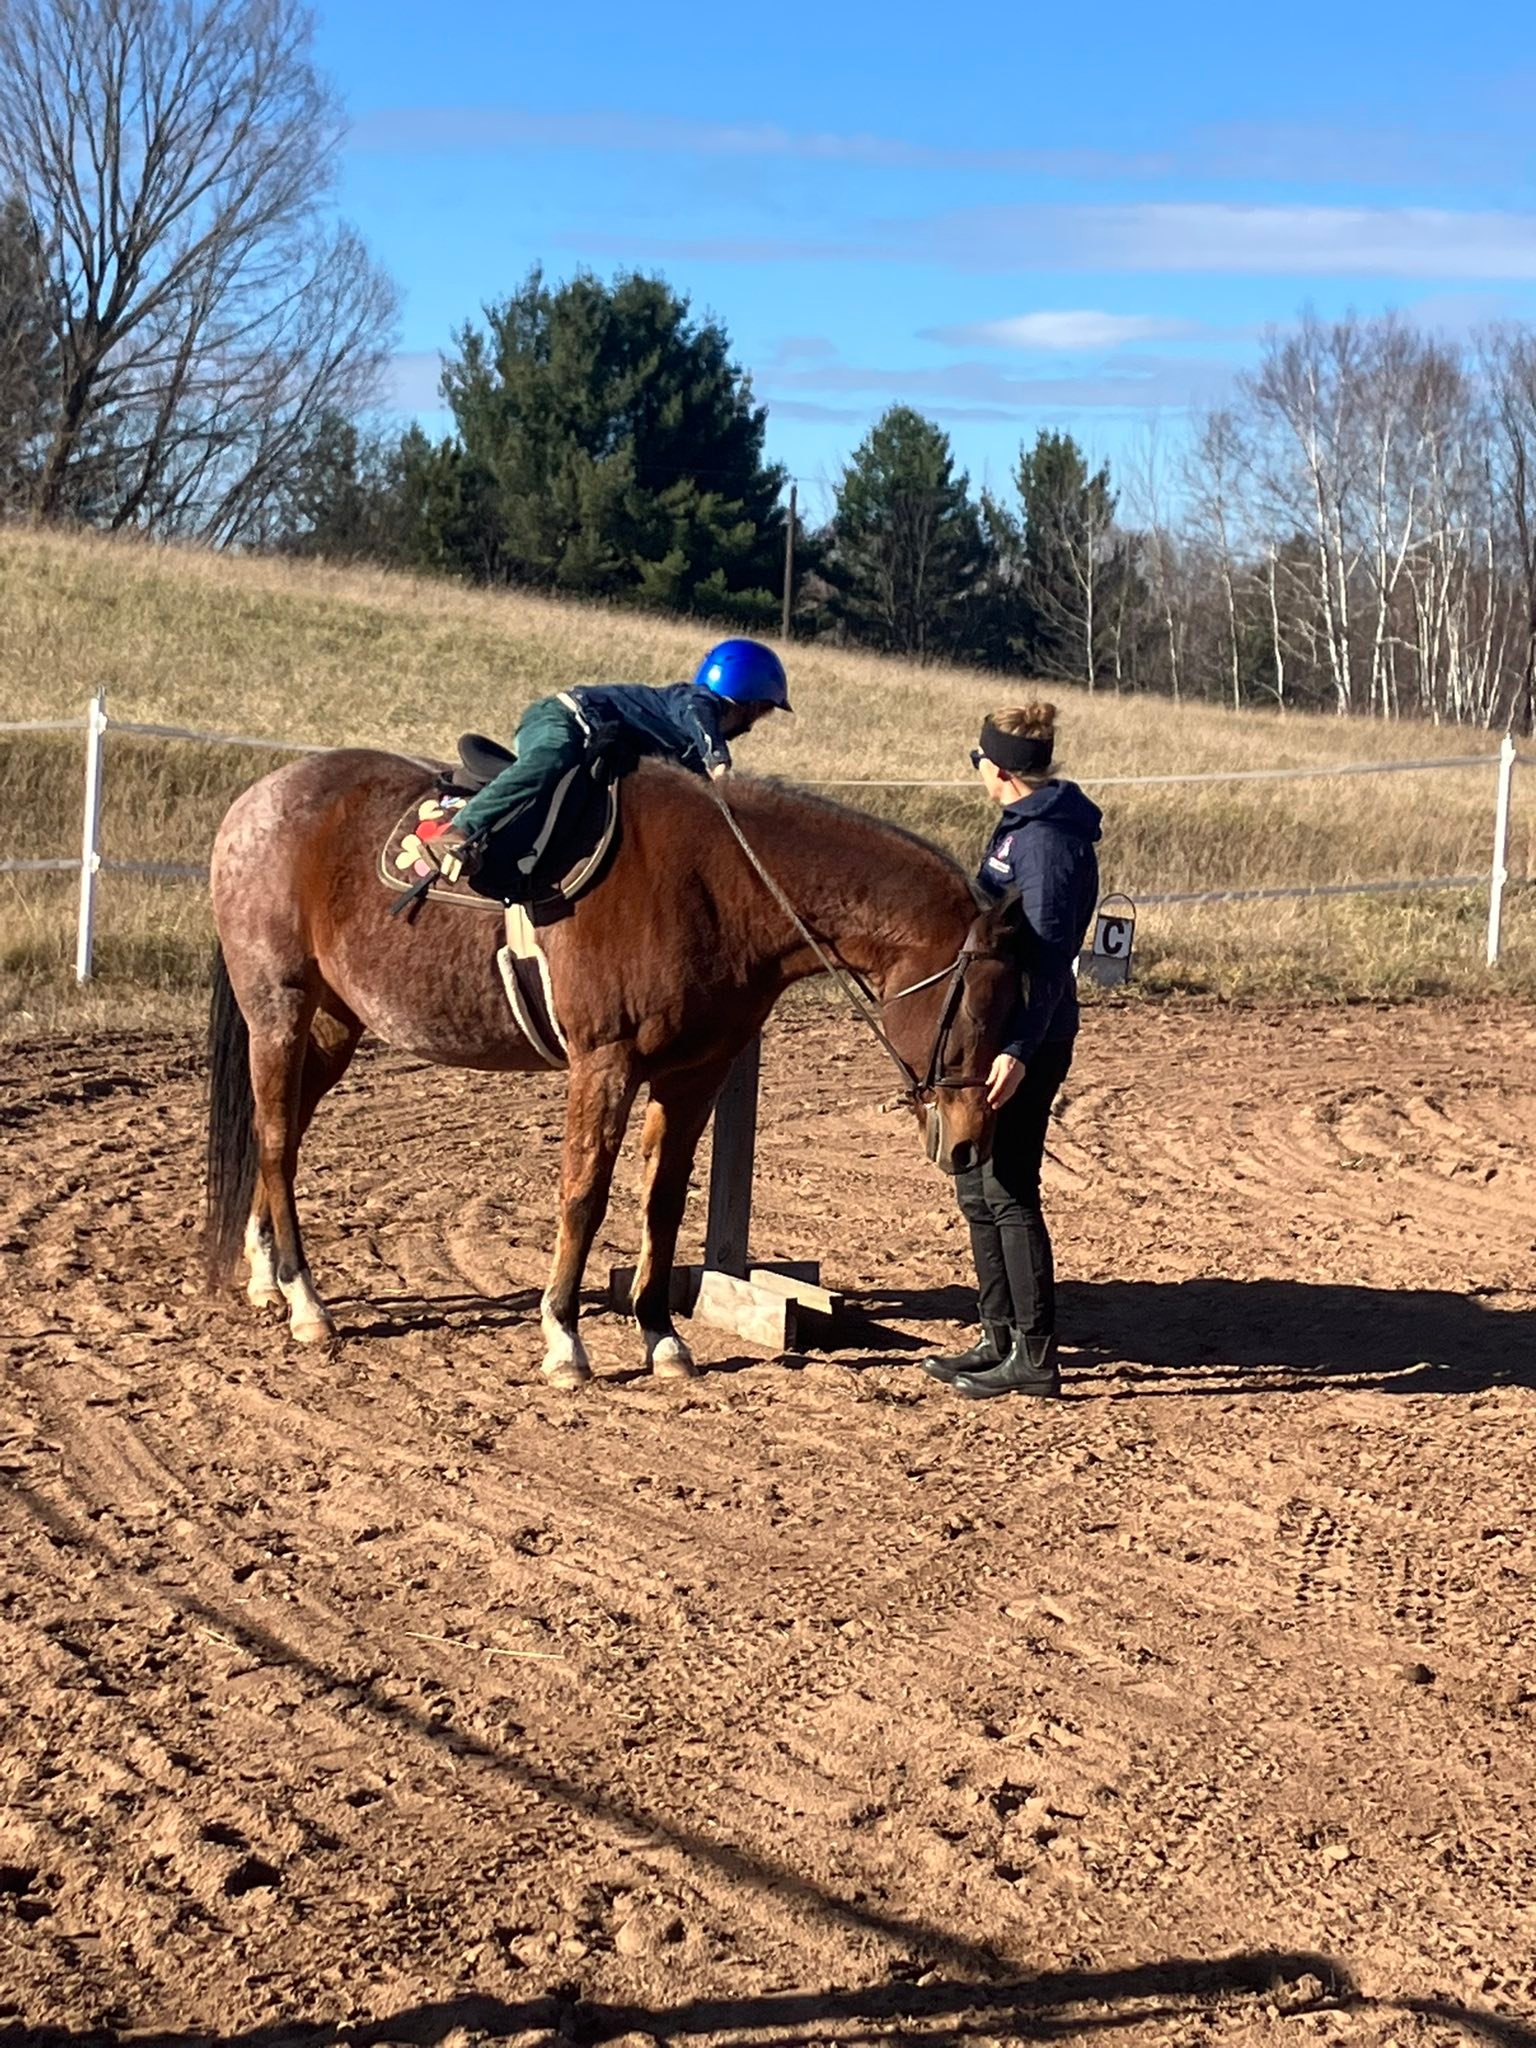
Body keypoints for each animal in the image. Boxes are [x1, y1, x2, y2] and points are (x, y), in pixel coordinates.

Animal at [205, 749, 1023, 1387]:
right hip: (279, 1010)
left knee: (284, 1133)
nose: (970, 1143)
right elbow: (584, 1197)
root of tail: (256, 799)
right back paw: (308, 1303)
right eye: (976, 1009)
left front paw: (663, 1338)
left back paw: (267, 1277)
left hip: (333, 1024)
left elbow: (662, 1203)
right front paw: (565, 1341)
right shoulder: (604, 1063)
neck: (720, 886)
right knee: (275, 1142)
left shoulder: (694, 1075)